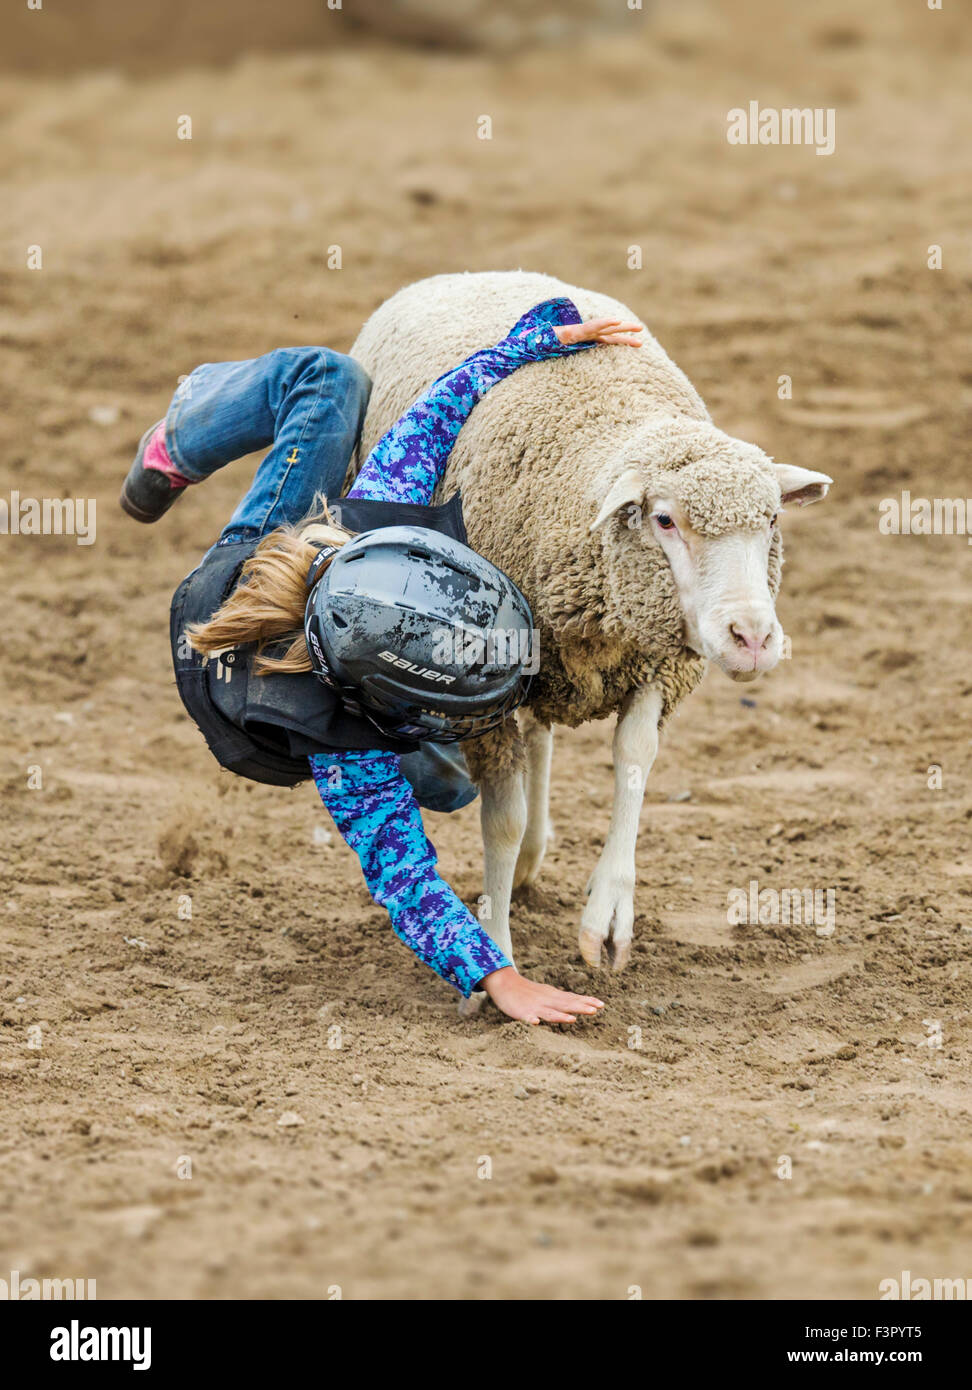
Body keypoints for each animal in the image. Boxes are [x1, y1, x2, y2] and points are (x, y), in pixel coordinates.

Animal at [349, 271, 832, 1009]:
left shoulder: (657, 663)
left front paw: (607, 919)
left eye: (773, 519)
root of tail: (473, 274)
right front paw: (499, 957)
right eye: (664, 520)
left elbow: (634, 762)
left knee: (541, 737)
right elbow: (501, 818)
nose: (751, 637)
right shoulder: (486, 693)